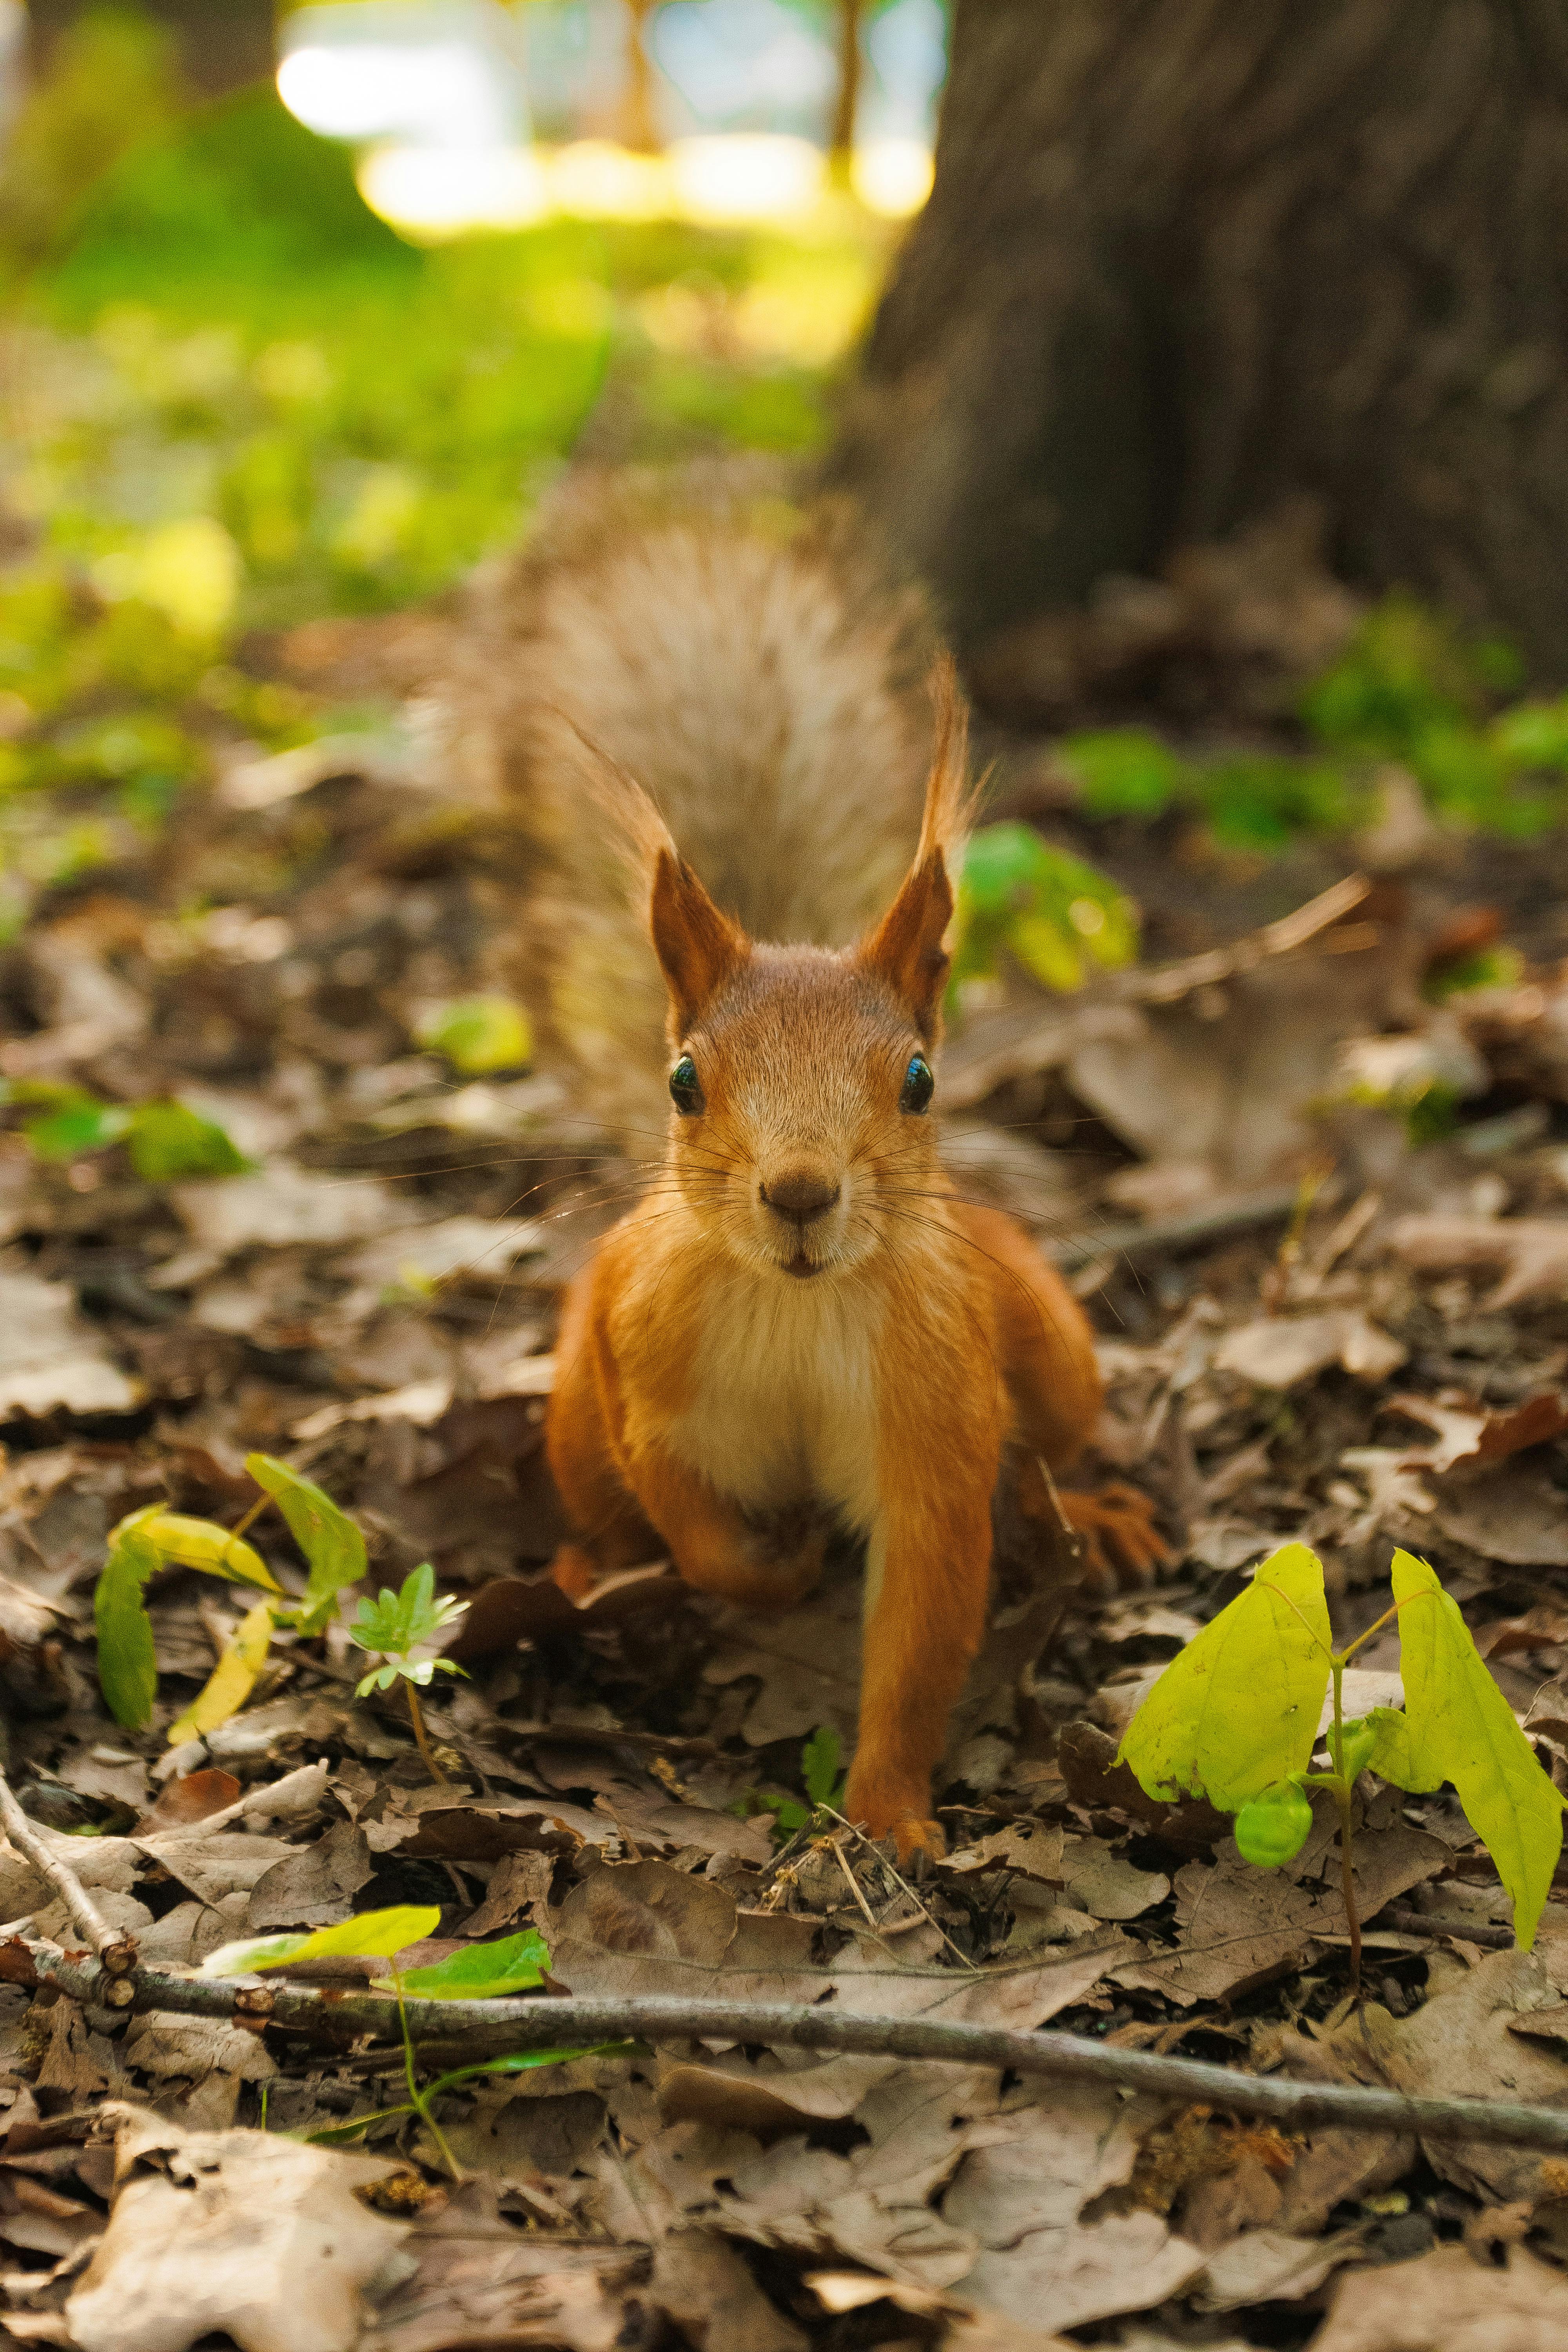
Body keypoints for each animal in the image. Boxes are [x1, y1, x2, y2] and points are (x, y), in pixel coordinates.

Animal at [446, 469, 1167, 1859]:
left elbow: (924, 1630)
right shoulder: (648, 1373)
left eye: (919, 1079)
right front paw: (762, 1568)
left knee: (1059, 1441)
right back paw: (582, 1568)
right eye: (684, 1081)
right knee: (601, 1497)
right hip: (570, 1412)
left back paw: (1097, 1514)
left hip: (1049, 1343)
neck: (792, 1311)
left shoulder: (937, 1429)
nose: (797, 1194)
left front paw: (888, 1812)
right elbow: (688, 1511)